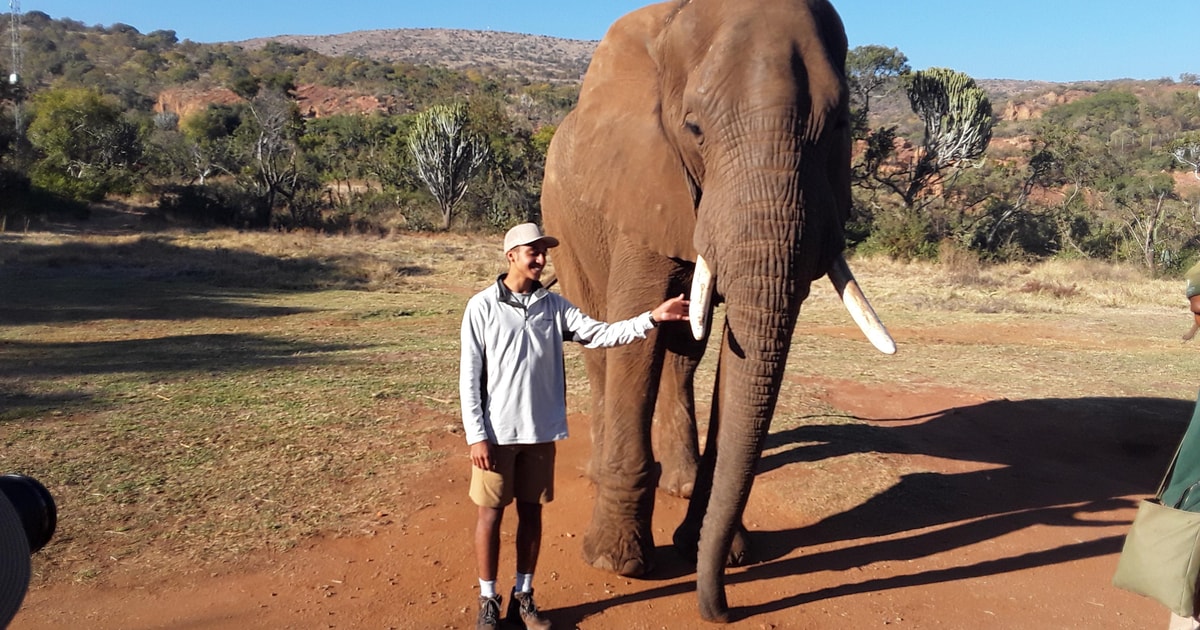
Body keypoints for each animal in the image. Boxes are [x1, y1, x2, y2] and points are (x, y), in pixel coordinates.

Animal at [540, 0, 894, 622]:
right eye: (694, 129)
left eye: (839, 128)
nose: (723, 610)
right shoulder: (644, 182)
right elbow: (637, 327)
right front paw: (617, 564)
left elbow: (736, 347)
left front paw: (717, 552)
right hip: (563, 218)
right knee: (600, 341)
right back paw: (599, 475)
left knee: (686, 350)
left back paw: (679, 485)